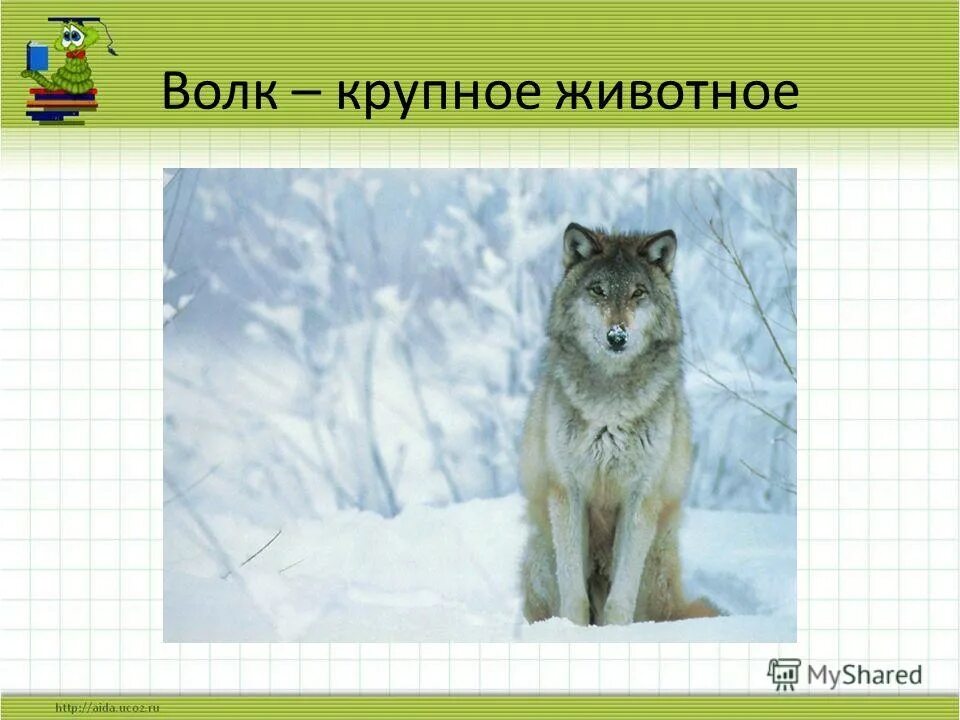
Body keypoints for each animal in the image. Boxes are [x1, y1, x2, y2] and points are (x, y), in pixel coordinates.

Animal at [519, 222, 718, 626]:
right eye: (598, 290)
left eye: (637, 293)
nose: (617, 335)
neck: (609, 408)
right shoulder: (568, 491)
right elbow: (574, 595)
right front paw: (571, 632)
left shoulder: (640, 496)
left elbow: (620, 599)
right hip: (542, 553)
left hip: (655, 564)